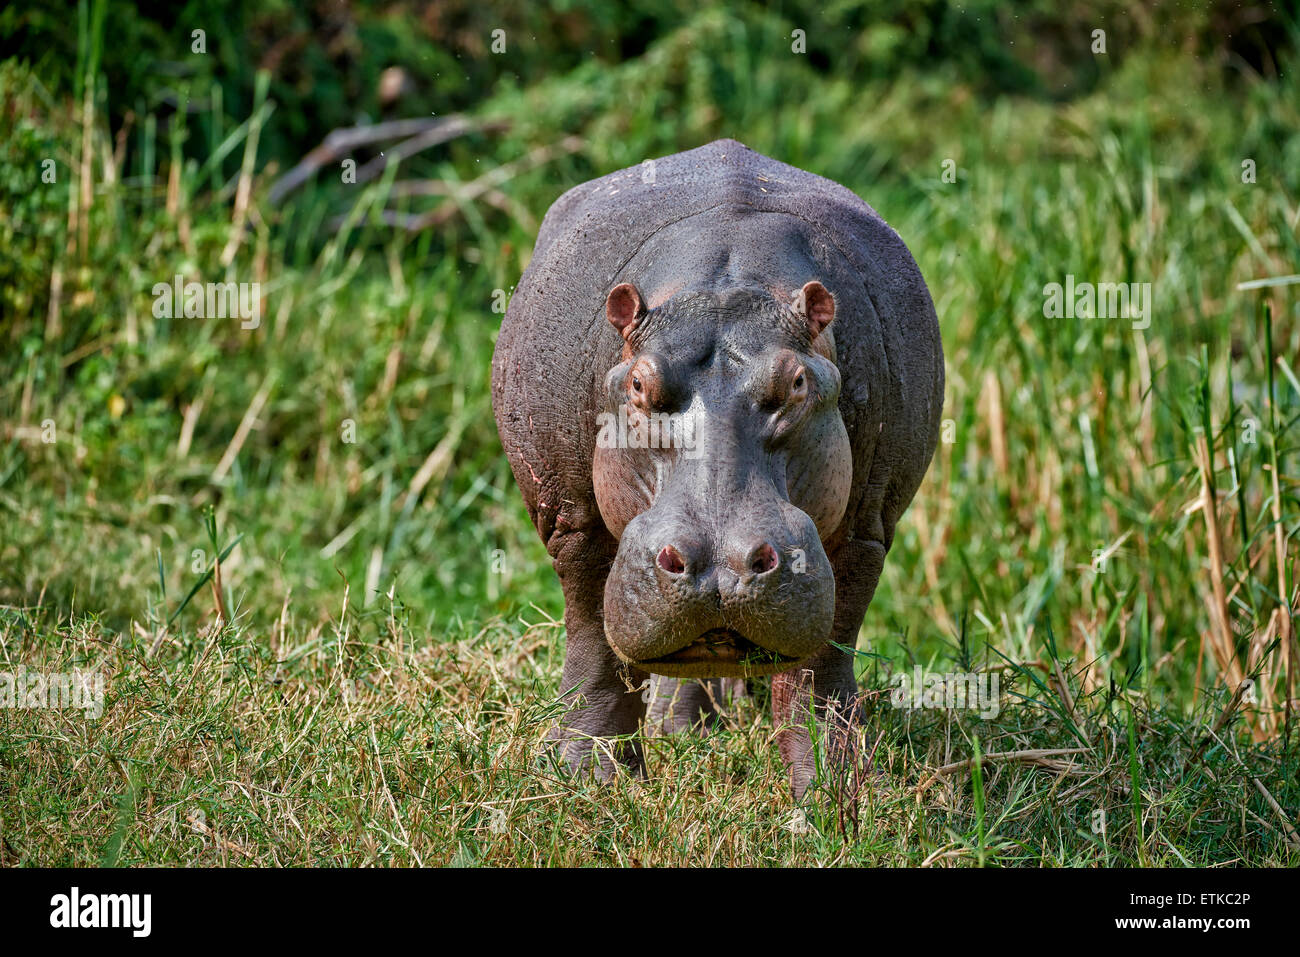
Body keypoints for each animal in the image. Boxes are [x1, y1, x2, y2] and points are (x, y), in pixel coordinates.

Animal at [491, 139, 943, 796]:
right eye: (637, 384)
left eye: (797, 383)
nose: (719, 562)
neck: (725, 282)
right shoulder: (573, 521)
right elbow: (594, 638)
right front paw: (583, 779)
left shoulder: (864, 529)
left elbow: (821, 666)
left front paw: (838, 790)